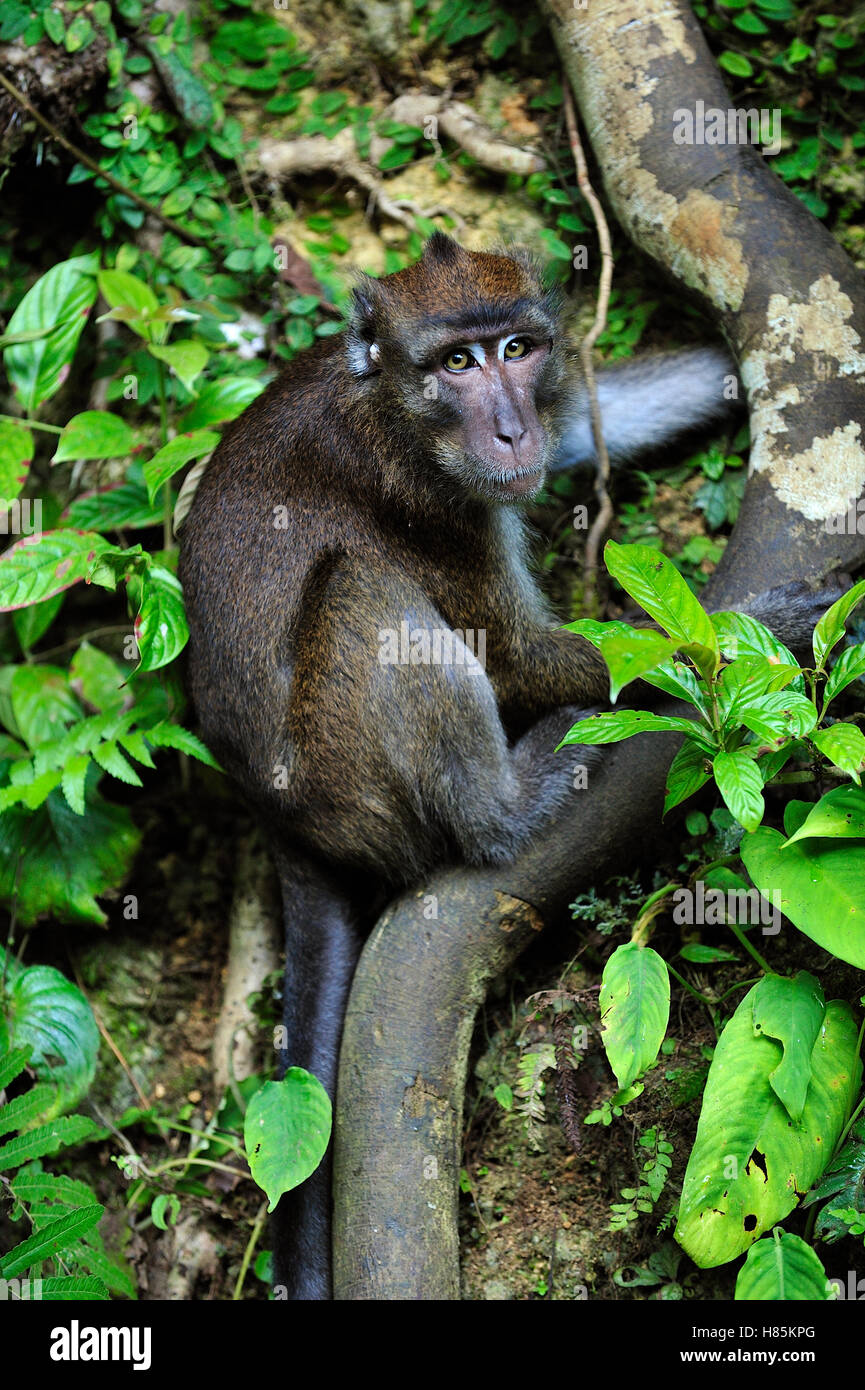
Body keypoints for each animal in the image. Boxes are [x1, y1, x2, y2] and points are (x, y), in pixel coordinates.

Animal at [177, 232, 836, 1300]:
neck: (390, 411)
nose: (507, 428)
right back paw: (506, 808)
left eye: (516, 349)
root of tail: (278, 822)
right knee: (365, 592)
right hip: (350, 785)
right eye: (456, 363)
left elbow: (588, 427)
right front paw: (759, 625)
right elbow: (520, 655)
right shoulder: (420, 500)